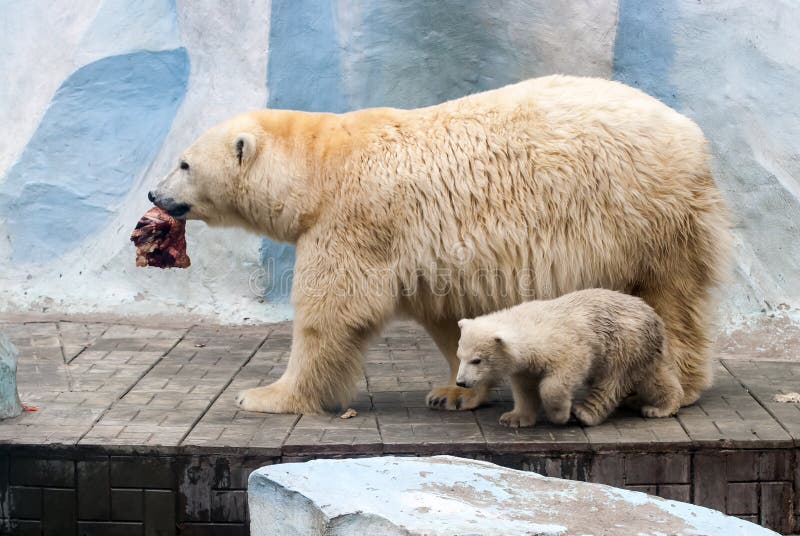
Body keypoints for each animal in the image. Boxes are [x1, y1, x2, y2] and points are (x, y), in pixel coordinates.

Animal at [455, 288, 684, 428]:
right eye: (460, 357)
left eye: (477, 360)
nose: (461, 382)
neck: (529, 326)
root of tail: (653, 315)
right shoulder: (524, 365)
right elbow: (524, 388)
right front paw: (514, 418)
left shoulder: (566, 345)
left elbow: (561, 377)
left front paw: (560, 415)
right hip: (641, 350)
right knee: (652, 377)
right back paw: (660, 407)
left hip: (624, 343)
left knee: (612, 381)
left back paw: (585, 413)